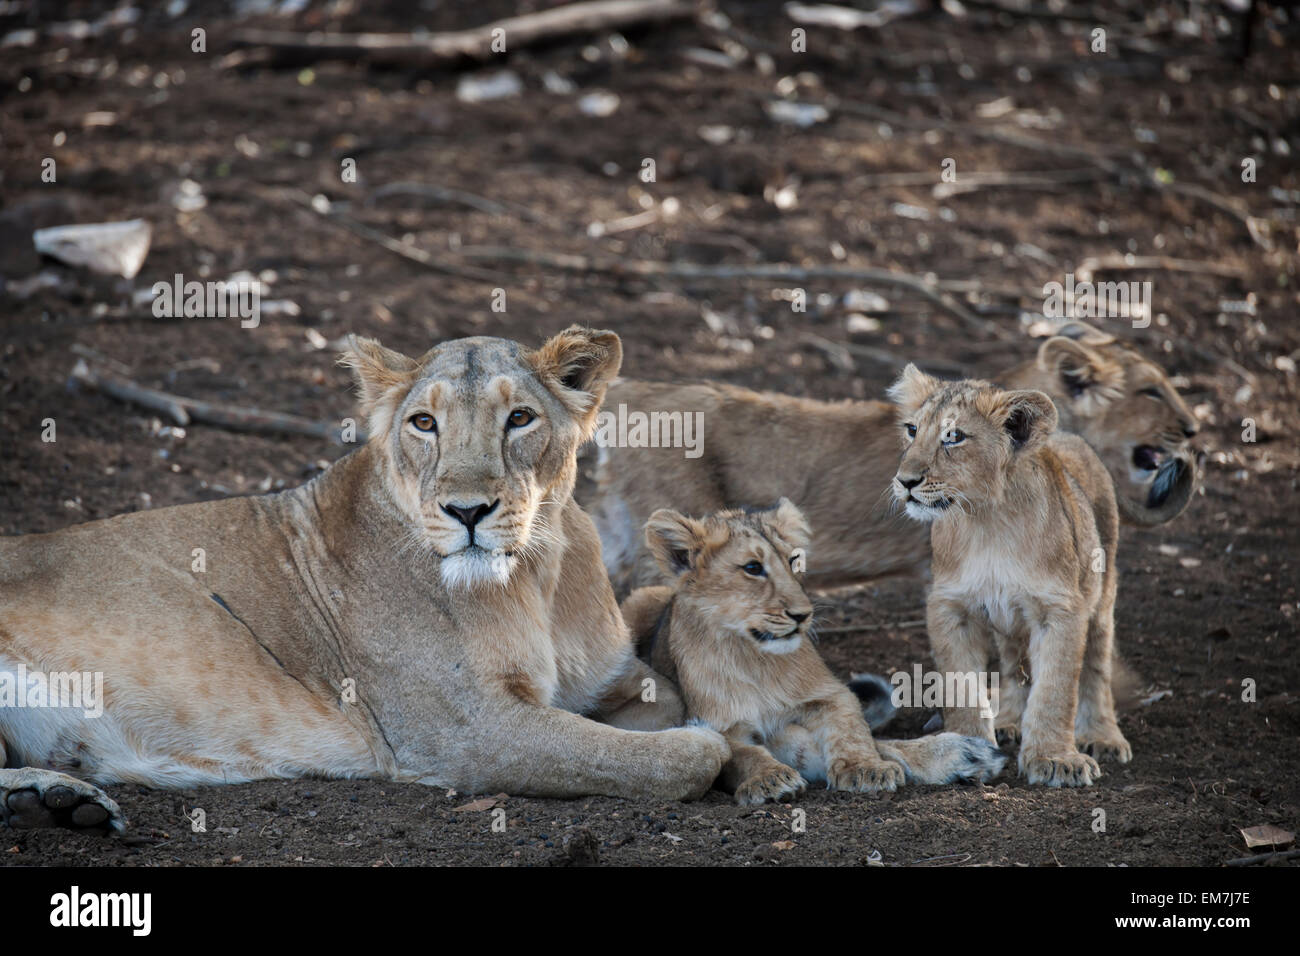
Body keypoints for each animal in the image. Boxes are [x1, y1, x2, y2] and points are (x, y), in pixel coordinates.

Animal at [0, 327, 730, 832]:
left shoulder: (610, 679)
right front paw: (709, 741)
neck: (536, 577)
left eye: (519, 417)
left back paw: (58, 801)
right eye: (424, 423)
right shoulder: (466, 731)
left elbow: (662, 701)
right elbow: (677, 756)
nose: (468, 511)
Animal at [621, 499, 1006, 805]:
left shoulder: (828, 695)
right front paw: (769, 779)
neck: (753, 656)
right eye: (752, 568)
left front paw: (866, 769)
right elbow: (741, 753)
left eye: (793, 561)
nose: (803, 615)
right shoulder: (718, 724)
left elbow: (853, 729)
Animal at [887, 365, 1132, 787]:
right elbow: (961, 686)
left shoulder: (1061, 609)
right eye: (912, 429)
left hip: (1102, 595)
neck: (986, 521)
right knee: (1014, 663)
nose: (905, 481)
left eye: (954, 436)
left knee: (1096, 667)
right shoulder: (949, 606)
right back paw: (1007, 721)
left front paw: (1055, 759)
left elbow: (1055, 690)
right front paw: (967, 748)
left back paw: (1103, 735)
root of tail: (1067, 436)